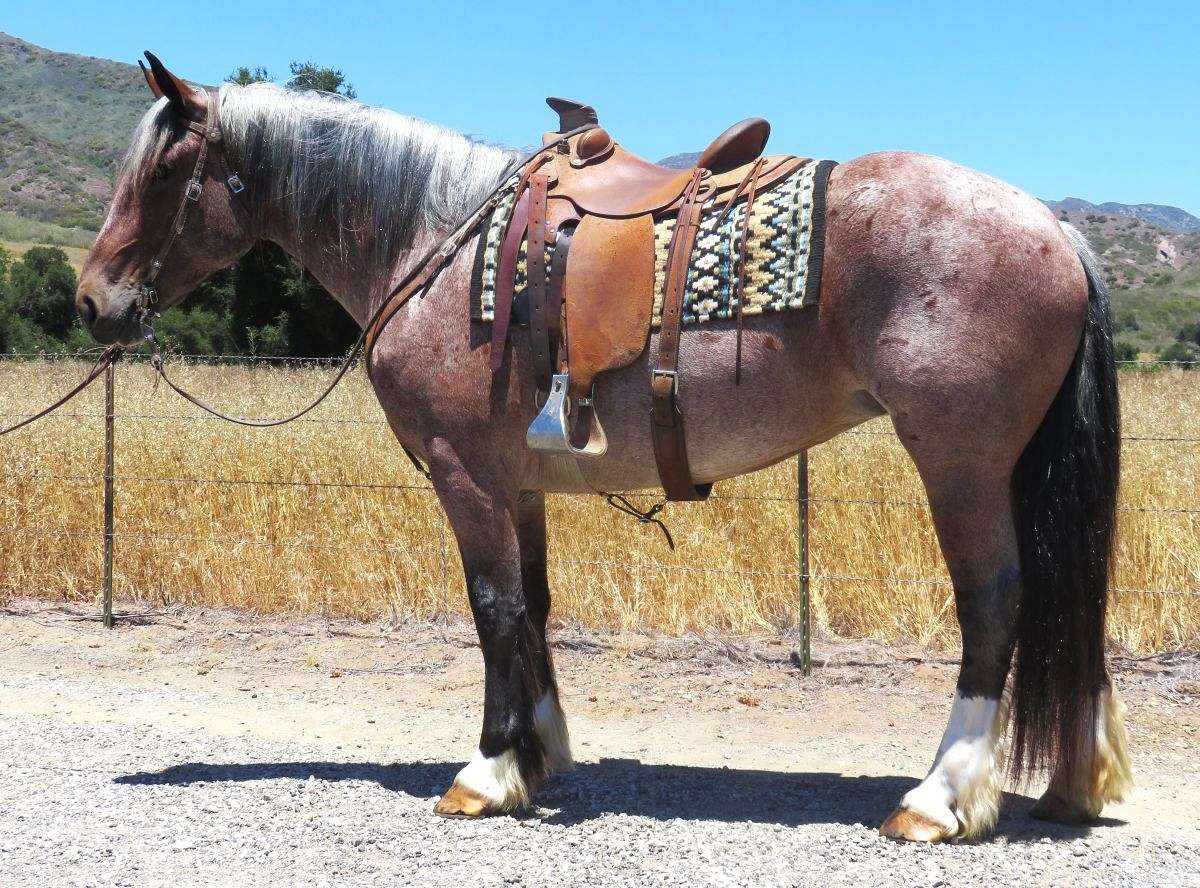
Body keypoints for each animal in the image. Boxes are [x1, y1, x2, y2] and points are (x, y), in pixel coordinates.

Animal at [75, 54, 1132, 842]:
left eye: (164, 174)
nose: (93, 303)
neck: (432, 238)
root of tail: (1055, 229)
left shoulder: (464, 473)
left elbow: (493, 607)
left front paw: (487, 768)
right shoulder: (518, 482)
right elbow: (533, 606)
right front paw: (540, 753)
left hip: (960, 464)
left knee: (995, 606)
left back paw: (939, 796)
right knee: (1068, 600)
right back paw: (1073, 782)